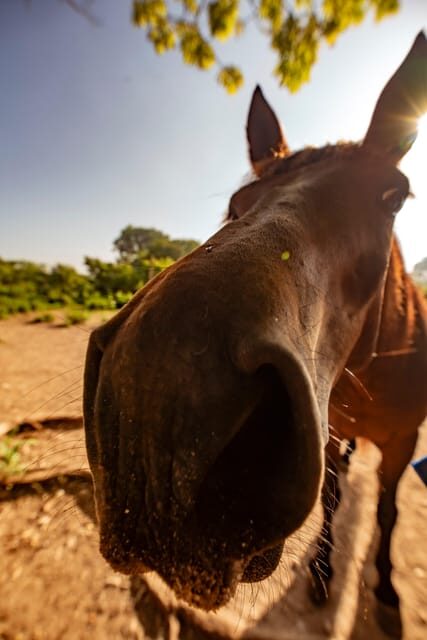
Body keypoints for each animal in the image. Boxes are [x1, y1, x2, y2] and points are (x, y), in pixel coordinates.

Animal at [83, 32, 427, 634]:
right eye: (237, 203)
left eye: (393, 197)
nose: (155, 401)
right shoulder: (329, 430)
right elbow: (333, 497)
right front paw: (321, 574)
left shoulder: (404, 439)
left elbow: (387, 511)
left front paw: (386, 593)